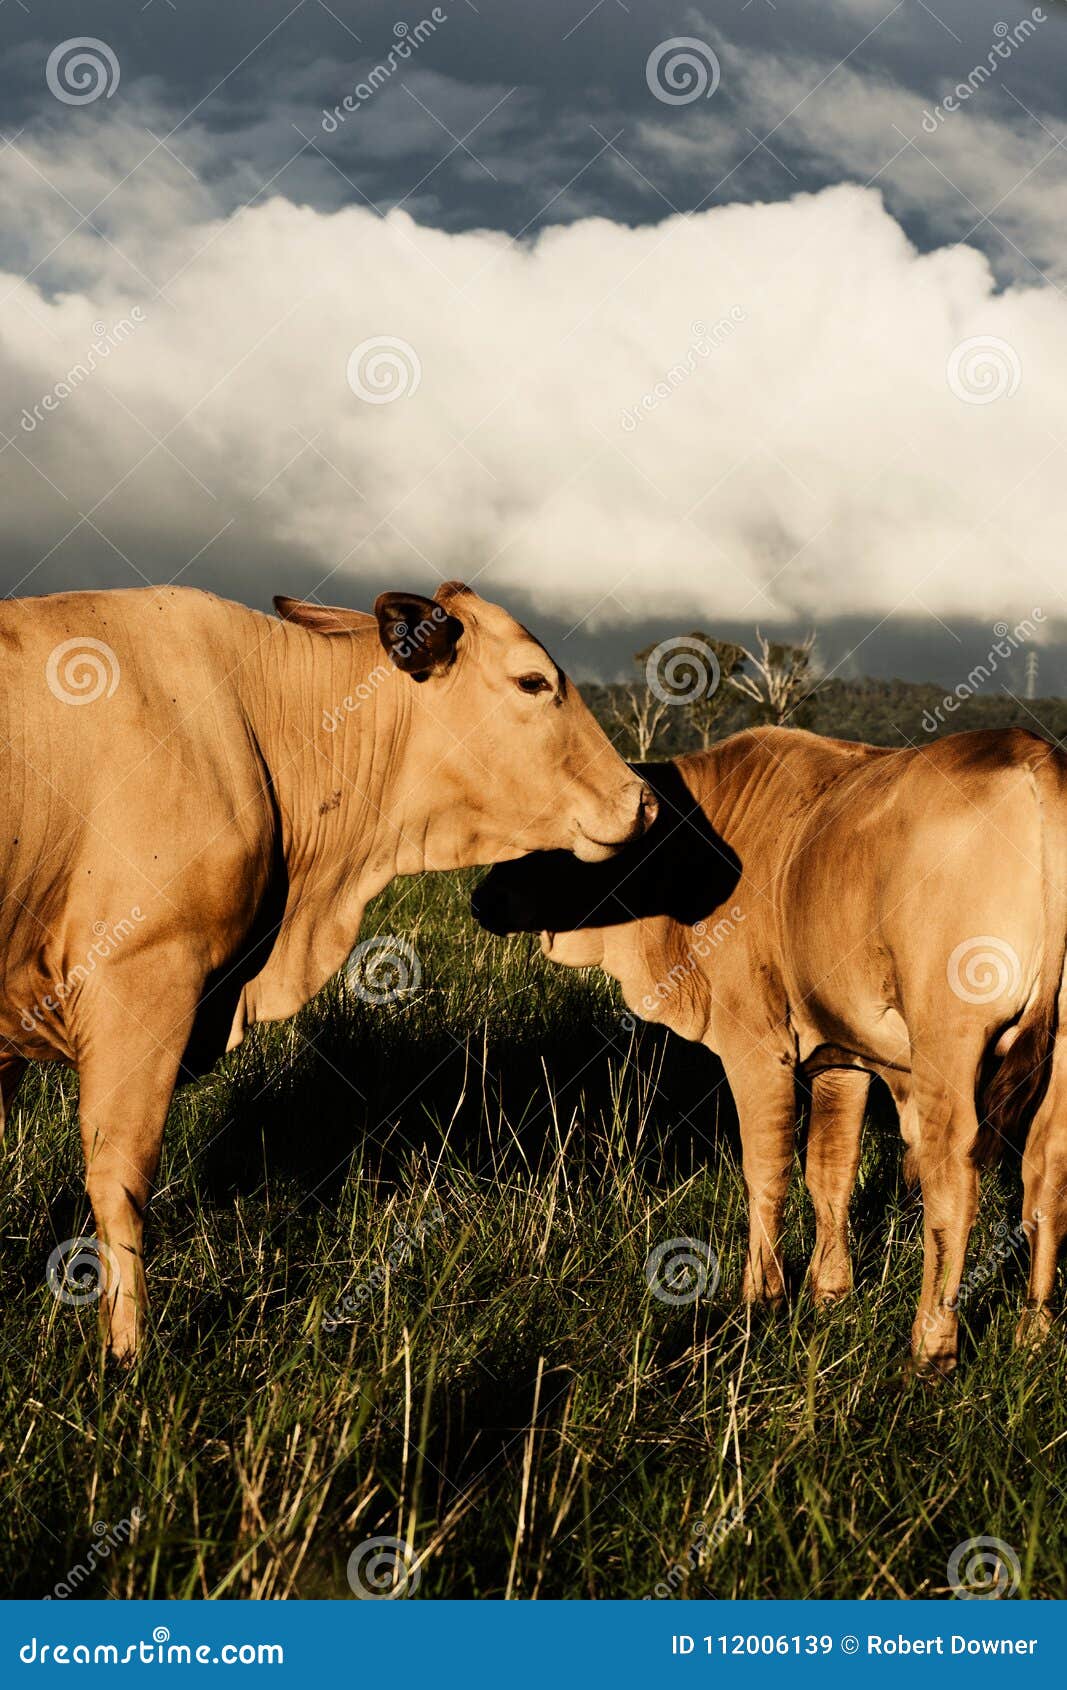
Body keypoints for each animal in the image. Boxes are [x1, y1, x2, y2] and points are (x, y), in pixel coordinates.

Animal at [472, 726, 1067, 1375]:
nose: (481, 901)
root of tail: (1035, 756)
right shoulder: (842, 1054)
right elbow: (830, 1171)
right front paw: (831, 1293)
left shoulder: (757, 1047)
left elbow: (767, 1170)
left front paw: (762, 1296)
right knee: (1047, 1177)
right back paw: (1034, 1336)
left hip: (948, 1044)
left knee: (952, 1181)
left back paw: (931, 1345)